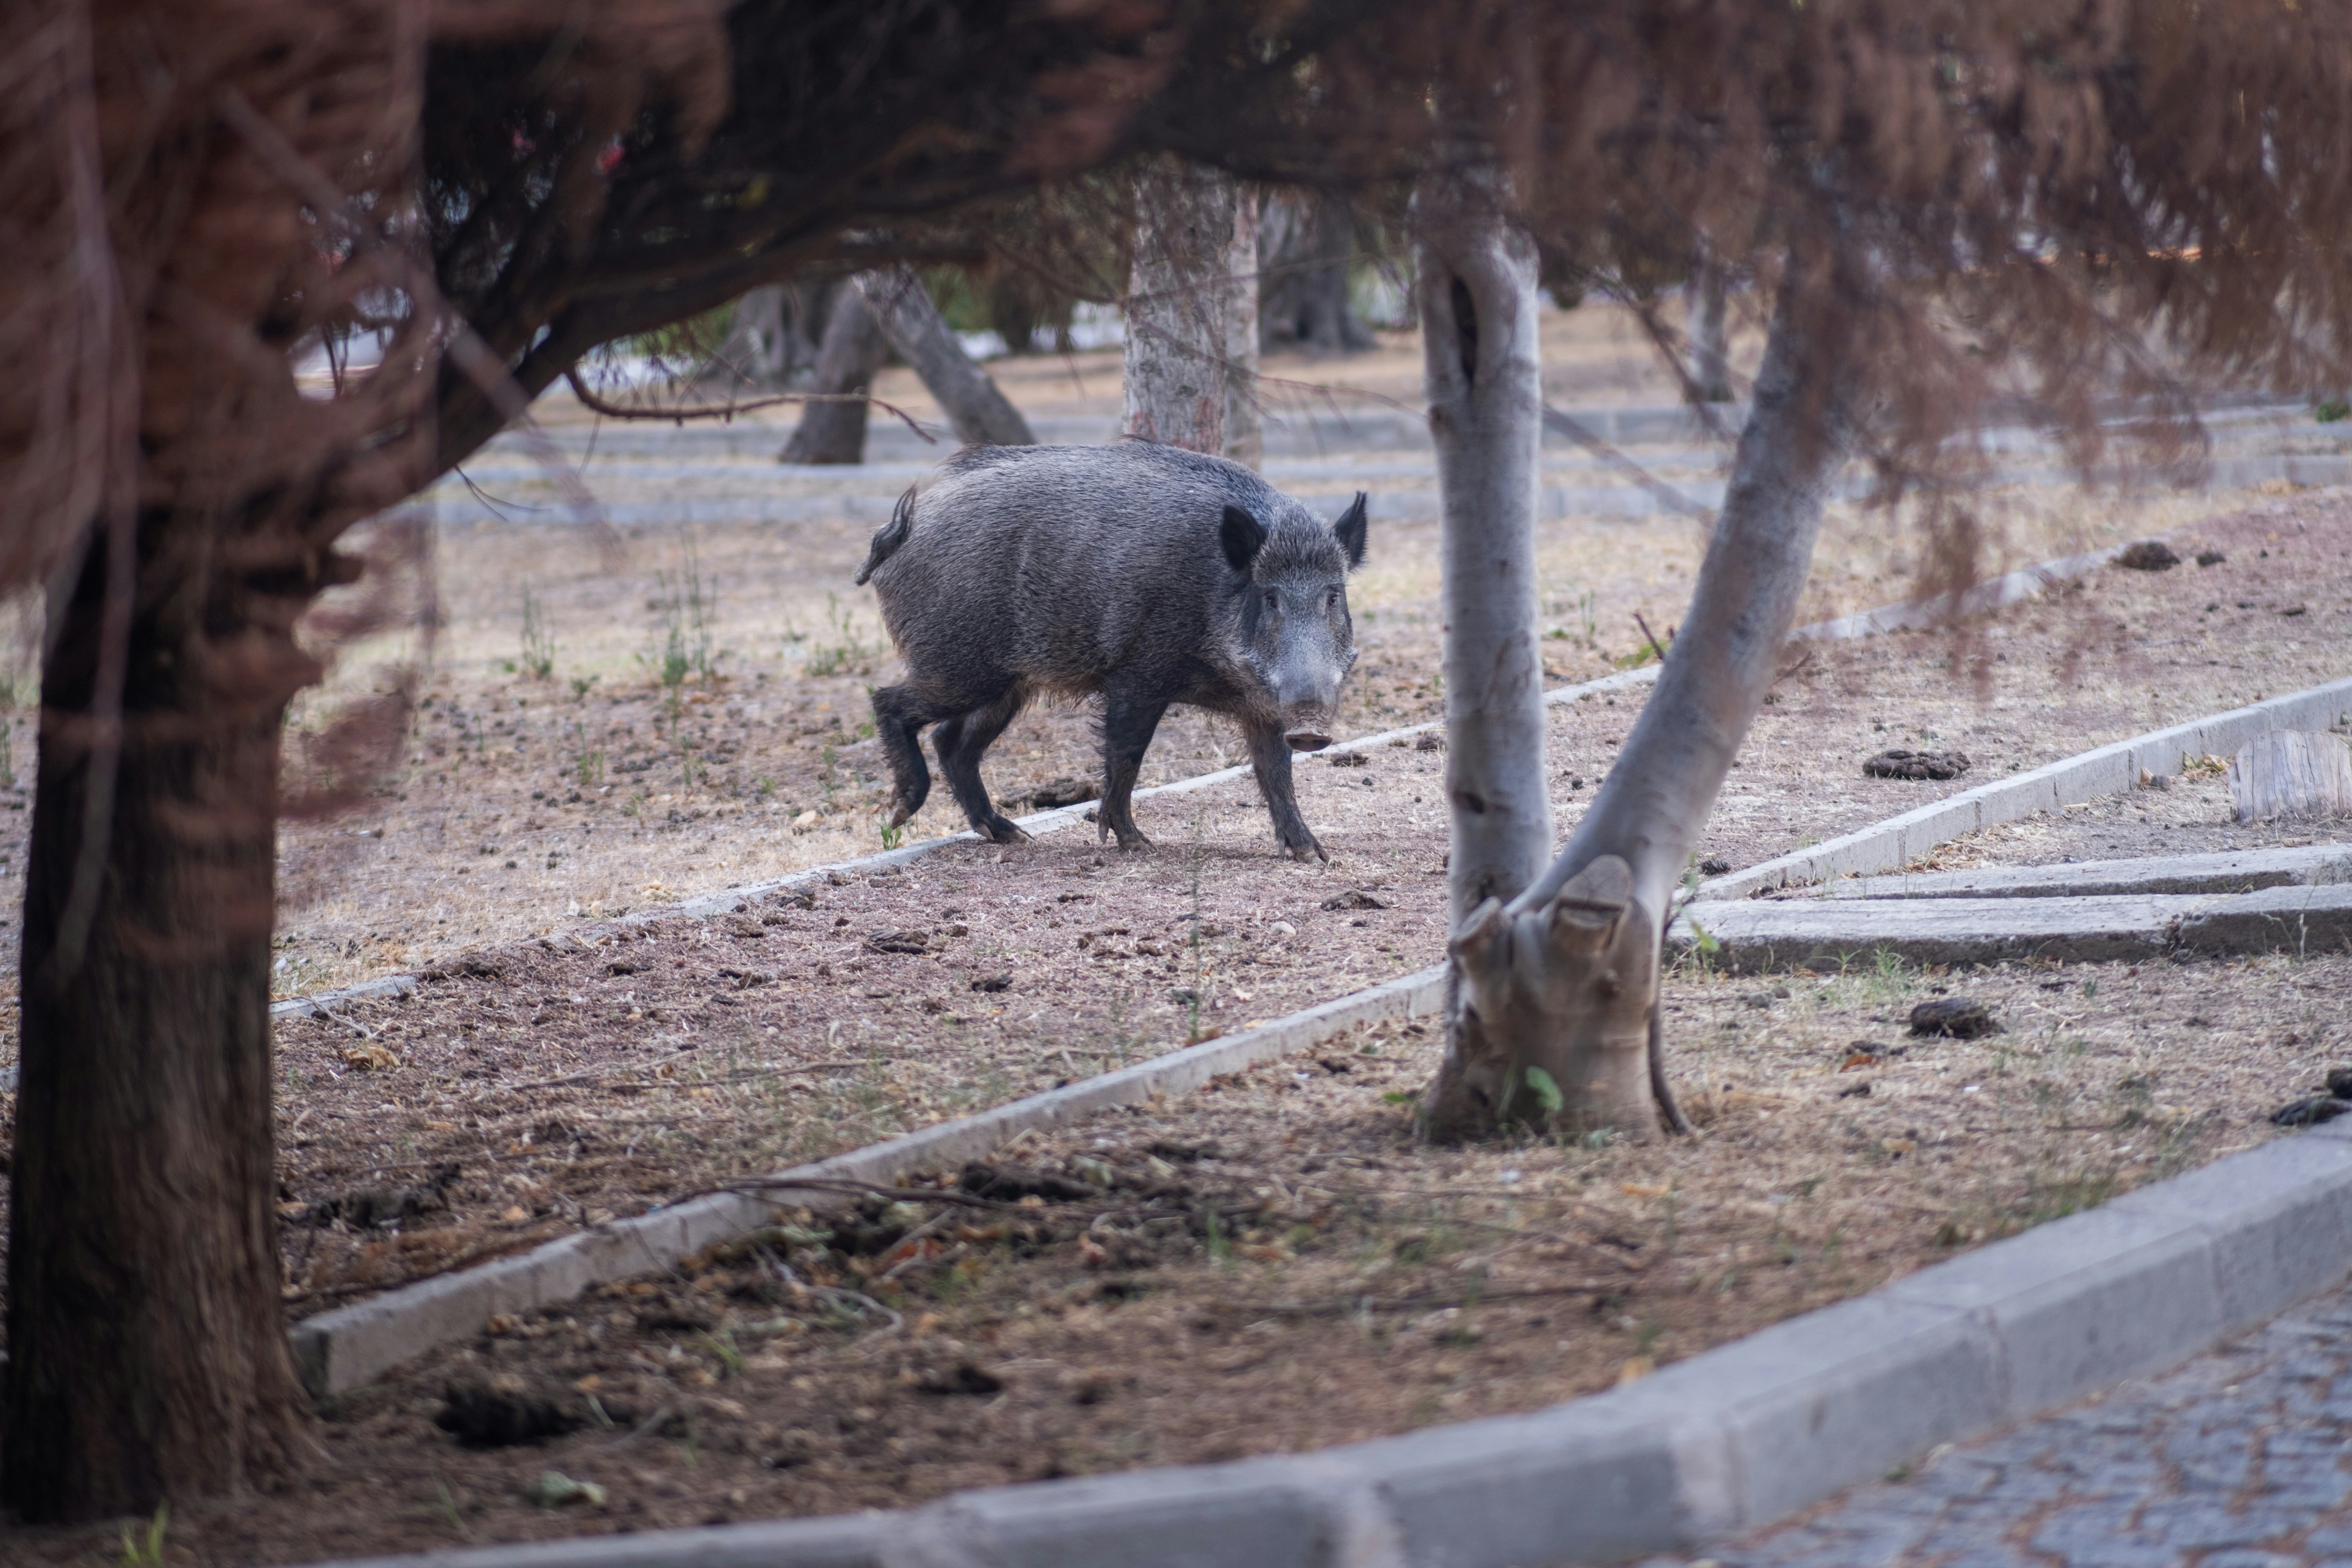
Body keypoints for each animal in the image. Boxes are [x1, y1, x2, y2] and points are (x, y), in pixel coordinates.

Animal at [853, 441, 1368, 860]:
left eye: (1333, 596)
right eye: (1270, 597)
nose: (1311, 728)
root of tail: (899, 530)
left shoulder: (1263, 706)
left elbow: (1276, 772)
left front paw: (1315, 855)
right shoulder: (1138, 673)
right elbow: (1126, 754)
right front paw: (1137, 845)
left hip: (1006, 684)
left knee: (952, 743)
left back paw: (1013, 836)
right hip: (960, 666)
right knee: (890, 702)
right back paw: (902, 813)